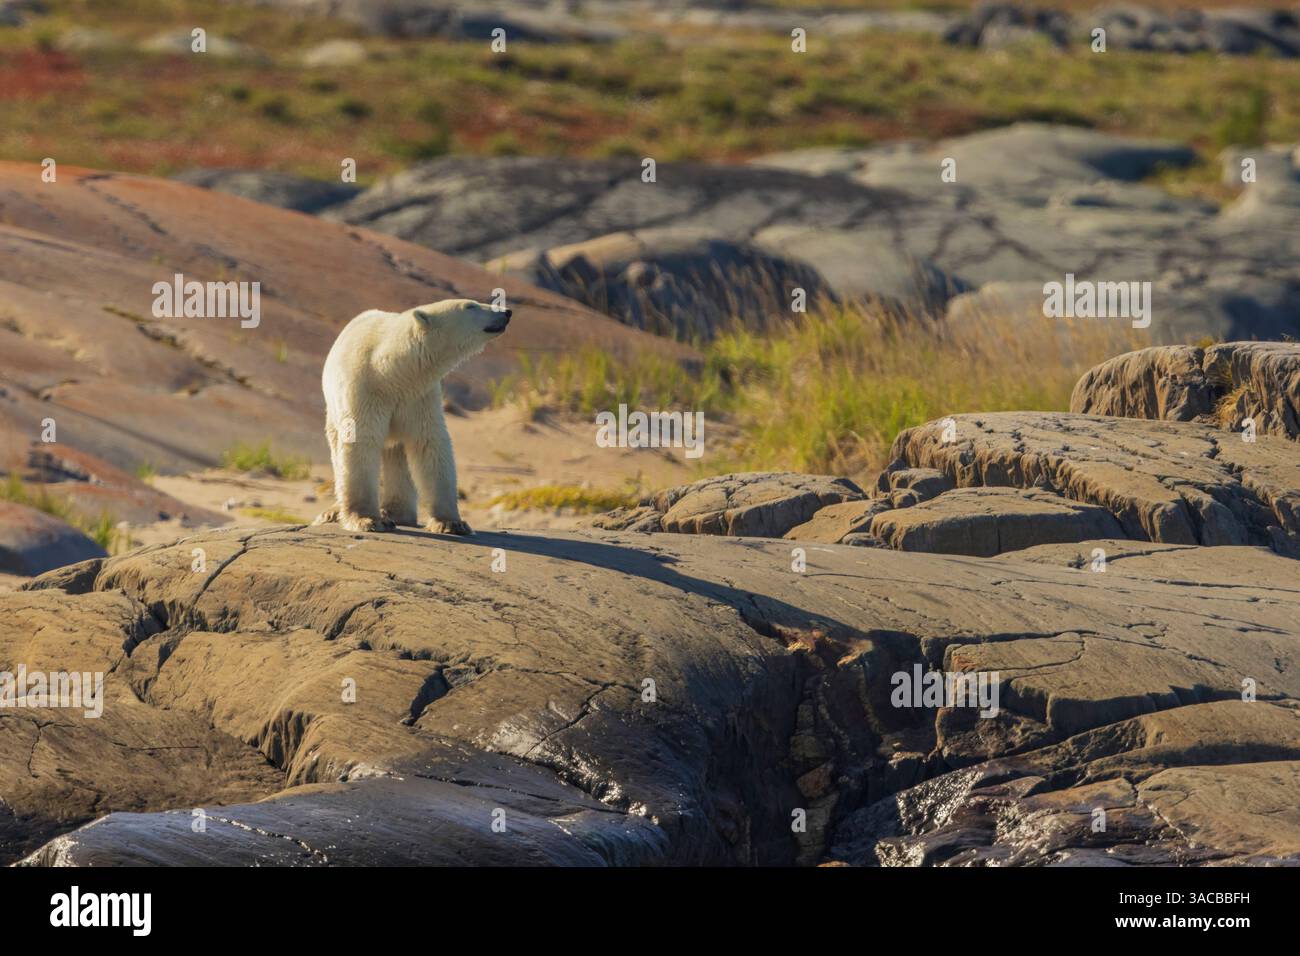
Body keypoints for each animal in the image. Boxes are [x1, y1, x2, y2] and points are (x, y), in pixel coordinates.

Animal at [312, 299, 511, 535]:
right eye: (470, 306)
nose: (507, 312)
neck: (389, 373)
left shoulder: (419, 396)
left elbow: (429, 444)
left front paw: (452, 523)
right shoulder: (364, 390)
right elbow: (361, 442)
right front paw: (367, 519)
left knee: (398, 454)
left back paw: (395, 512)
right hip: (332, 411)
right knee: (338, 450)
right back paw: (334, 512)